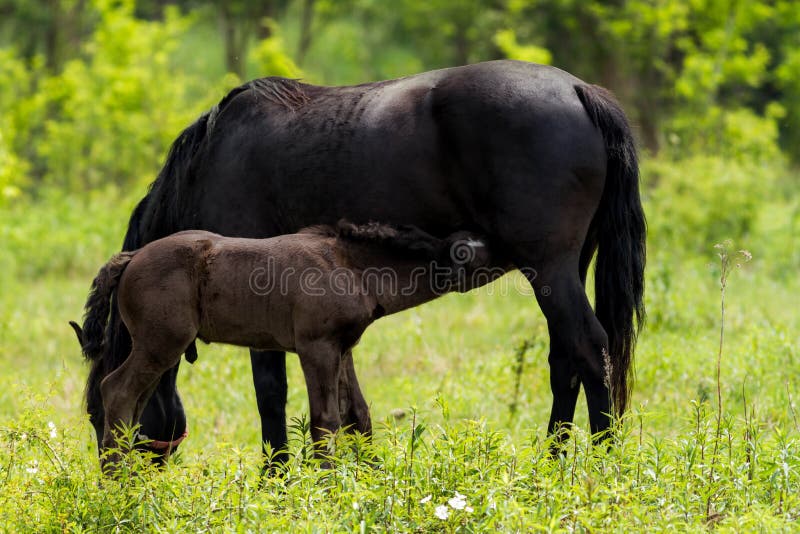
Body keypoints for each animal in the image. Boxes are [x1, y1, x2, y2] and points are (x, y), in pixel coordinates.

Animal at [72, 222, 495, 470]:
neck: (348, 265)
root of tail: (130, 258)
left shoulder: (342, 349)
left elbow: (358, 414)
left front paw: (371, 481)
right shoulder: (316, 349)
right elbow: (326, 421)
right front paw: (330, 490)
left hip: (156, 350)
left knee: (134, 407)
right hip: (161, 344)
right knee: (117, 391)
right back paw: (117, 482)